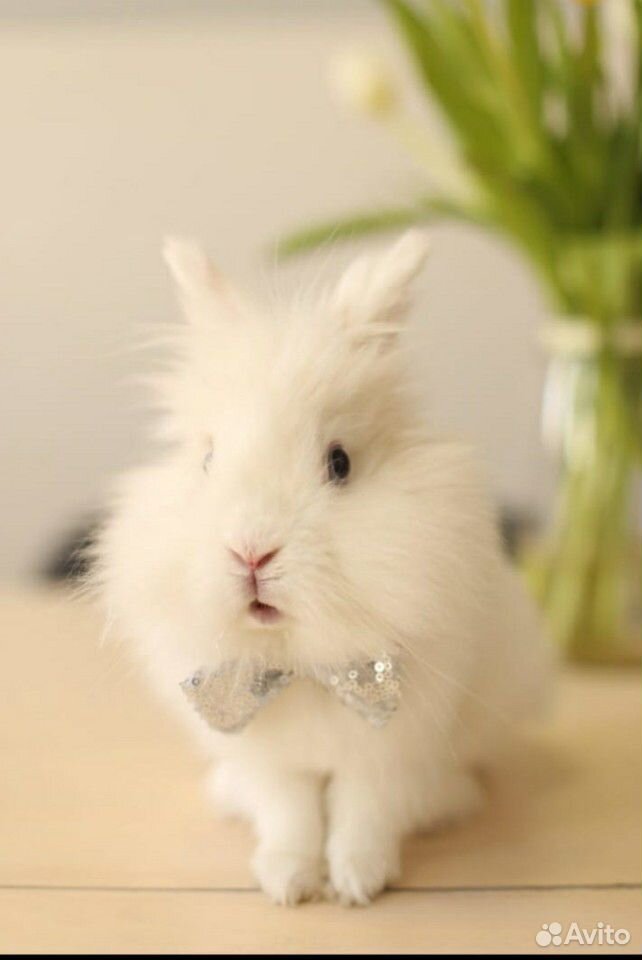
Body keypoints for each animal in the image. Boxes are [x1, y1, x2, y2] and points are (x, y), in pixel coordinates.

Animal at [94, 230, 550, 906]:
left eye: (340, 463)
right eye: (207, 460)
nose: (252, 551)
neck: (303, 666)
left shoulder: (391, 748)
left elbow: (367, 811)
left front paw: (360, 881)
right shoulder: (270, 757)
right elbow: (290, 813)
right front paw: (287, 881)